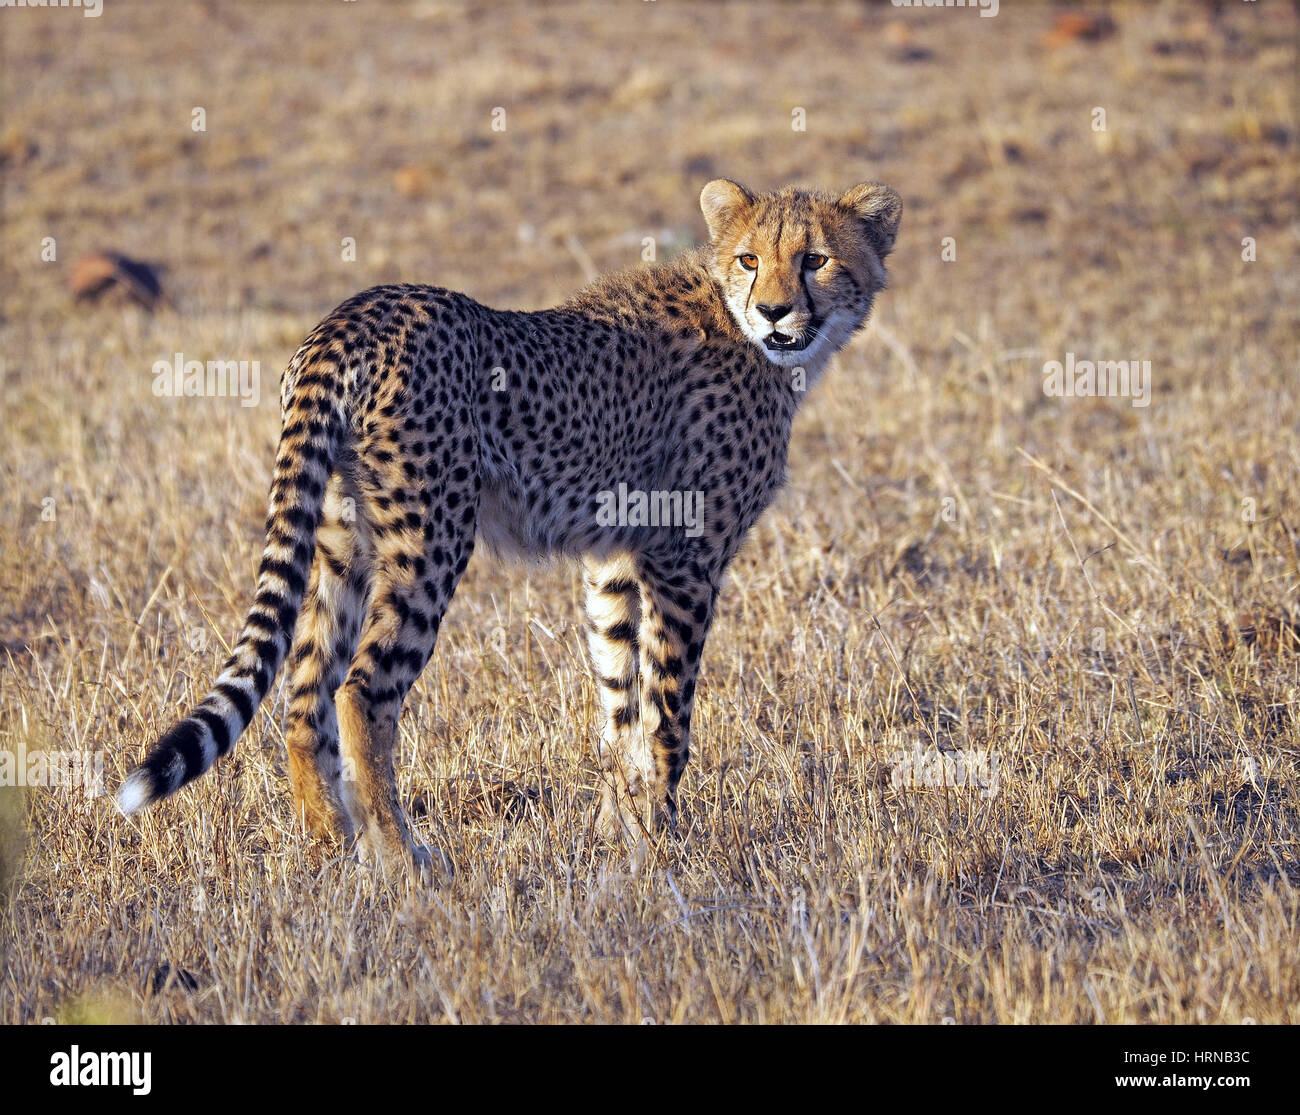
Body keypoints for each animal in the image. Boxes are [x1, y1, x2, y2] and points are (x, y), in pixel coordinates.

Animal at [115, 178, 902, 875]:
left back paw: (331, 847)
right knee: (361, 689)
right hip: (431, 537)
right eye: (749, 259)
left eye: (814, 259)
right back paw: (401, 858)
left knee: (306, 688)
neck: (747, 336)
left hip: (342, 536)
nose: (773, 311)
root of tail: (354, 313)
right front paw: (666, 839)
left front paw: (621, 830)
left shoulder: (614, 558)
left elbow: (620, 701)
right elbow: (668, 714)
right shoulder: (685, 557)